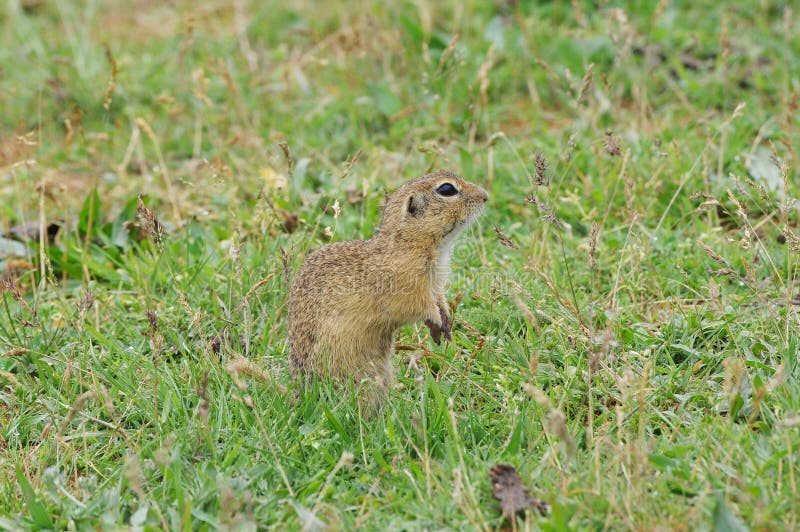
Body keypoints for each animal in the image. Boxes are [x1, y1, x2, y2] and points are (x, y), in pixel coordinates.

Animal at [287, 170, 488, 398]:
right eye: (447, 189)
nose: (485, 196)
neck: (408, 243)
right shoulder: (409, 288)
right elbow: (423, 306)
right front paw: (438, 322)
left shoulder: (435, 283)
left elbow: (439, 300)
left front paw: (445, 322)